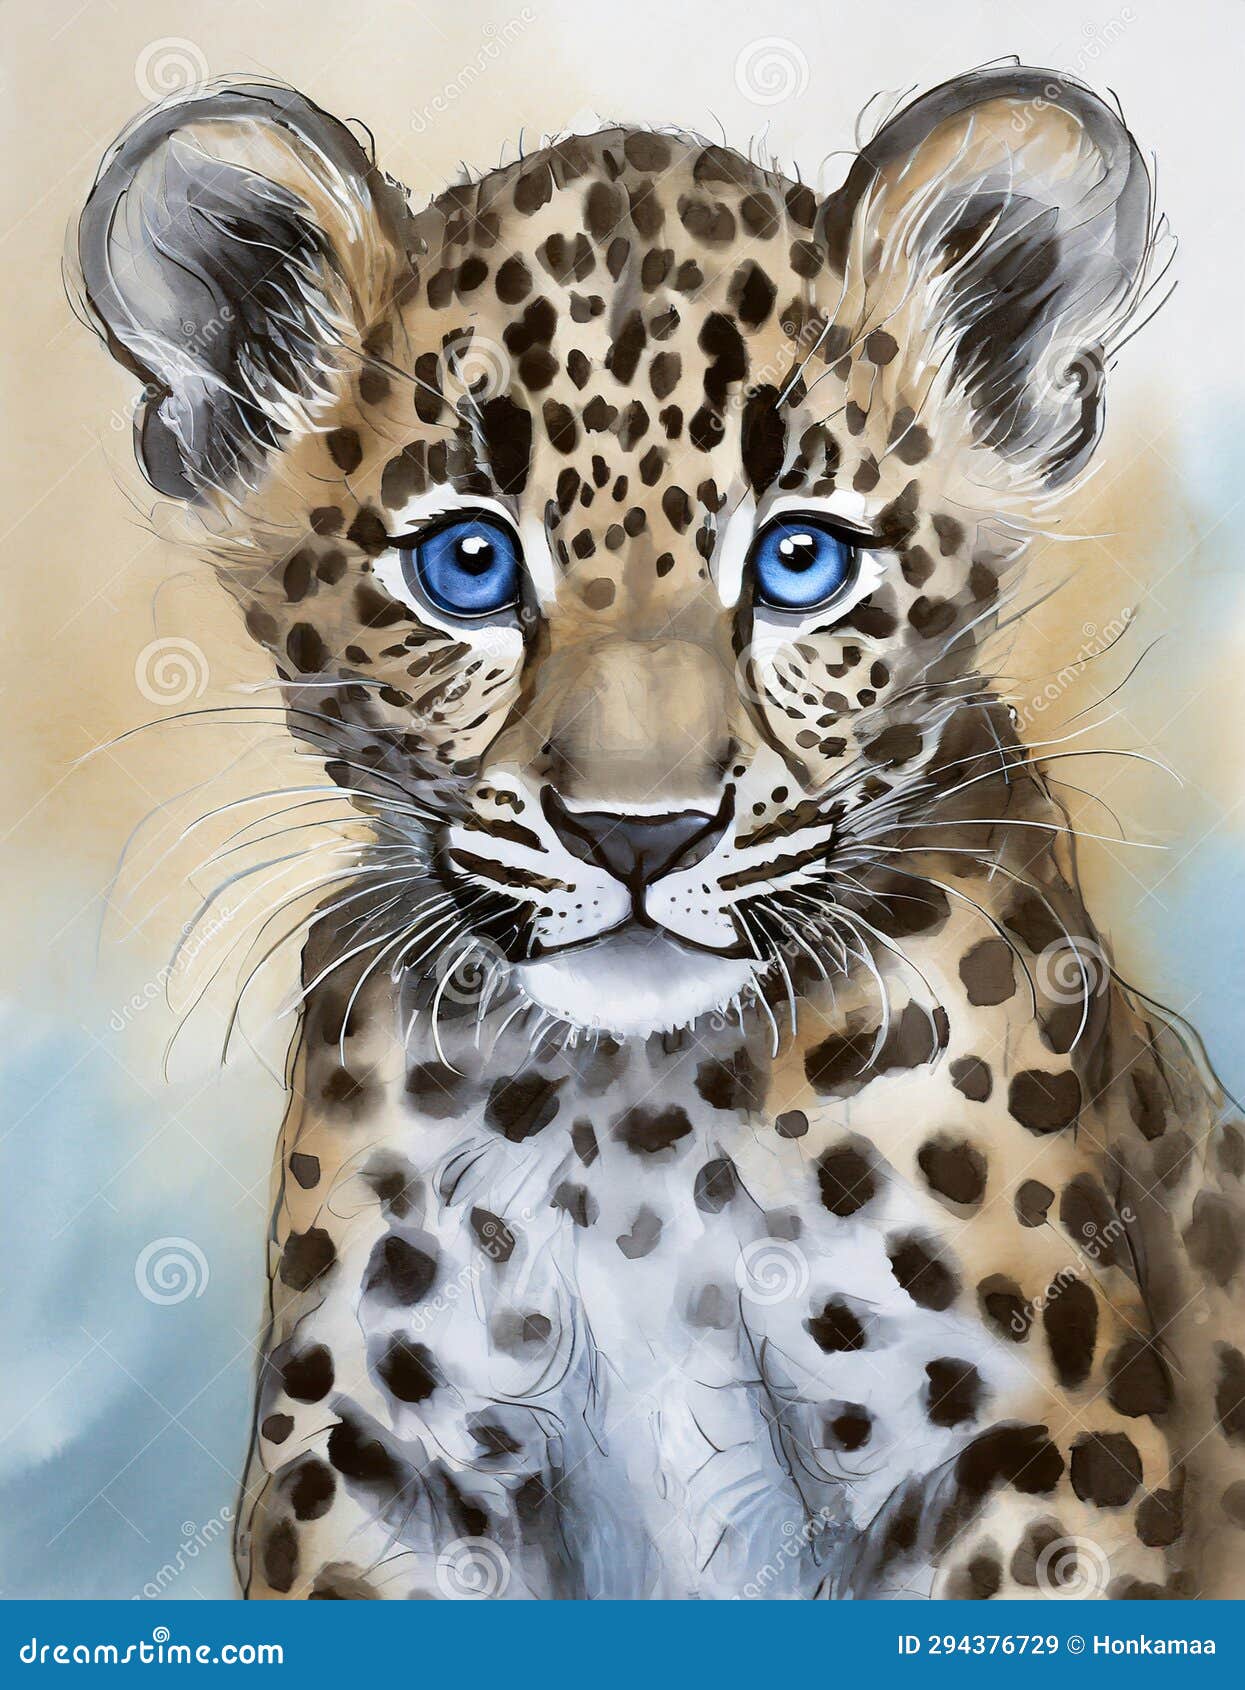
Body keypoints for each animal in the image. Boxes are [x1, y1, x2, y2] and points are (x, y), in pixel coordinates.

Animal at [75, 64, 1245, 1600]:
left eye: (802, 559)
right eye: (467, 561)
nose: (641, 834)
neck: (634, 1122)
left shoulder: (1028, 1457)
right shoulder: (377, 1462)